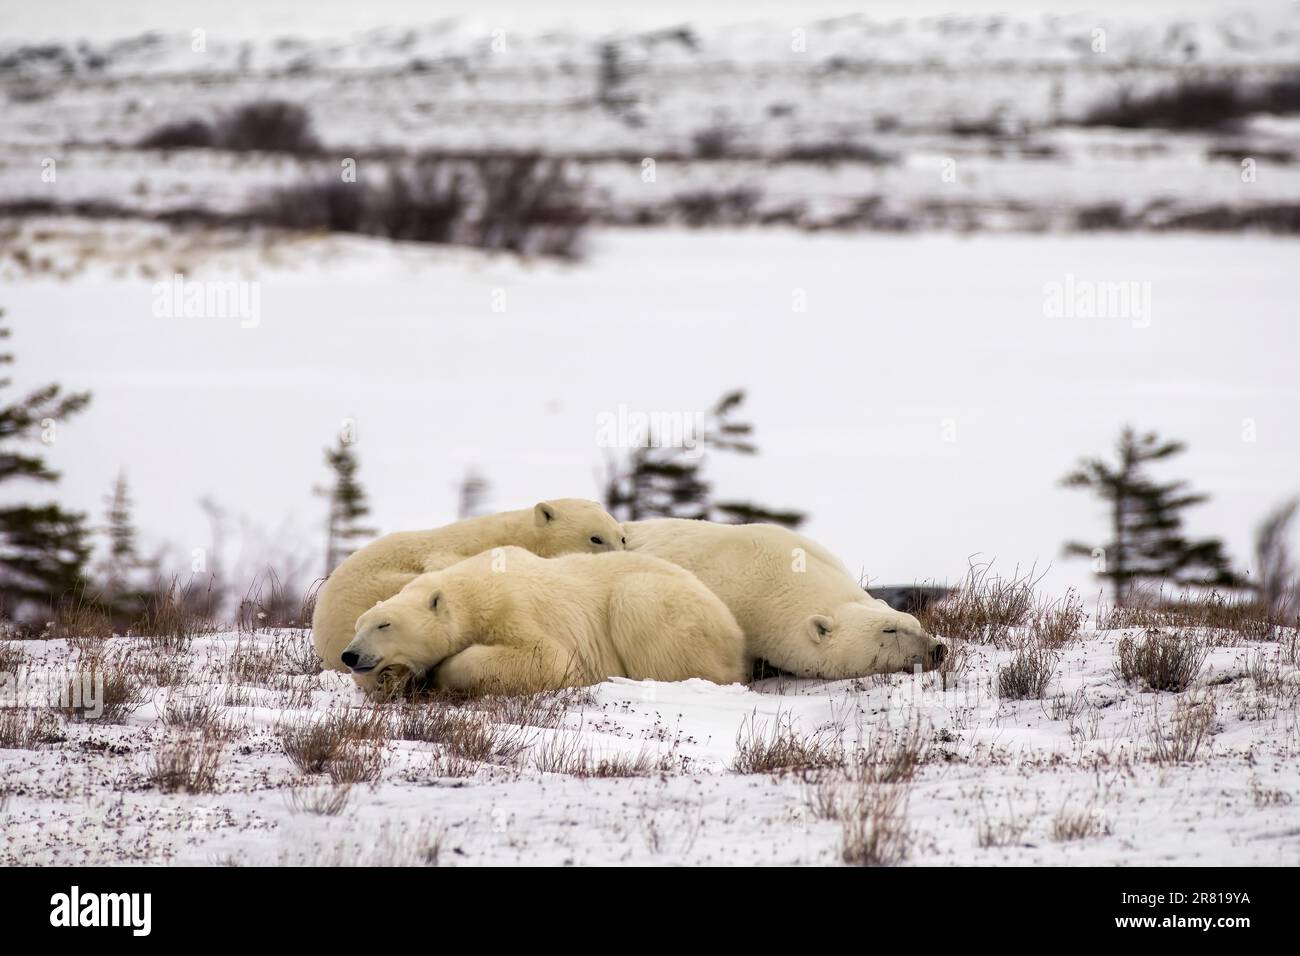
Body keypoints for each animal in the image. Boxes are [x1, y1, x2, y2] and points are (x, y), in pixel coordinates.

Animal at [341, 547, 749, 695]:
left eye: (385, 624)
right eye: (358, 624)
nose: (349, 655)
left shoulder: (516, 609)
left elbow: (549, 660)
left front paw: (440, 674)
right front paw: (395, 677)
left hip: (663, 604)